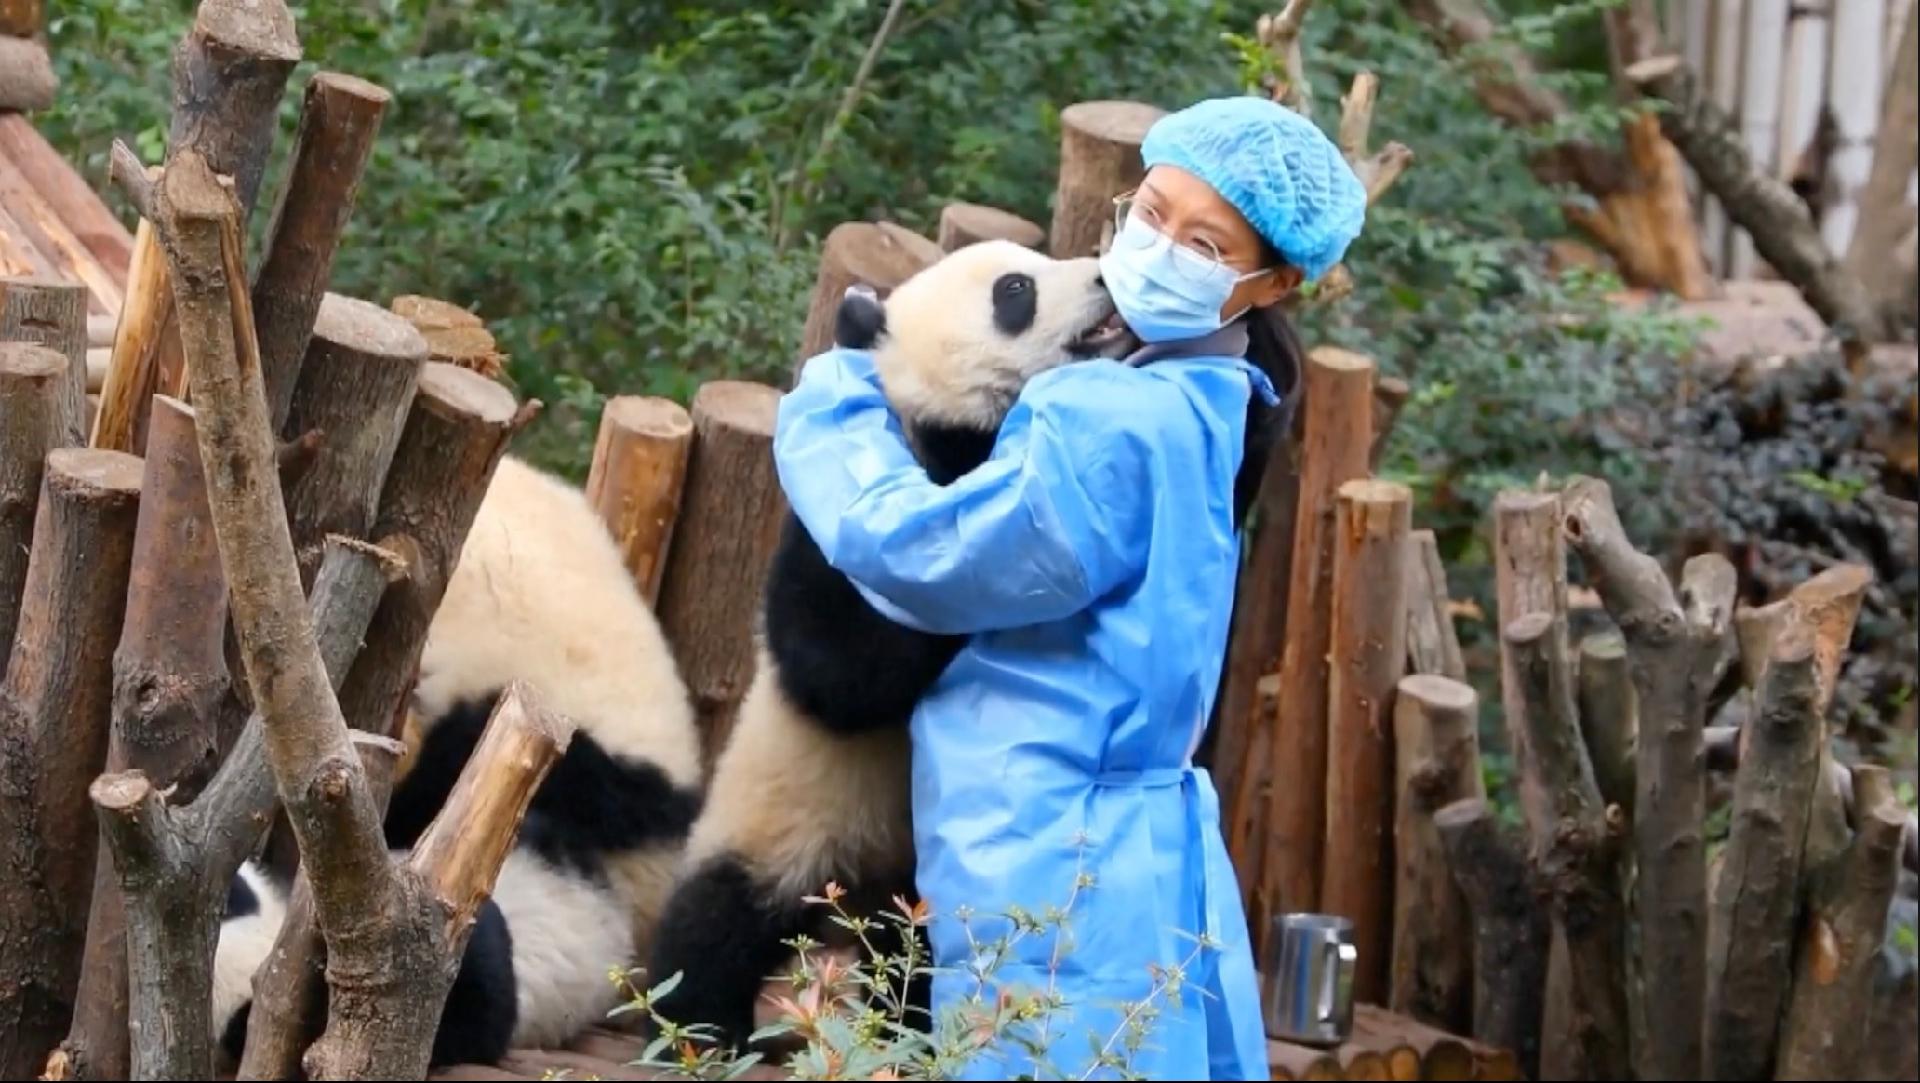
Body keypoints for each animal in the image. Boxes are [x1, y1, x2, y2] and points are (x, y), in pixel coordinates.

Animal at [639, 240, 1149, 1052]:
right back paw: (702, 1036)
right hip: (780, 825)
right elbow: (839, 669)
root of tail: (847, 901)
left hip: (916, 891)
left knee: (920, 964)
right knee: (712, 927)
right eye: (1016, 290)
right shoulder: (838, 517)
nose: (1104, 277)